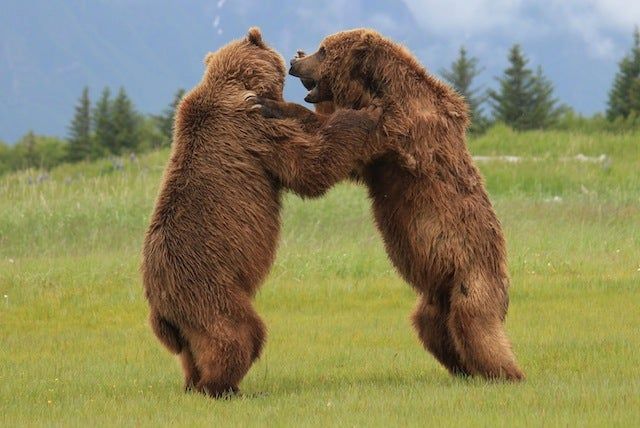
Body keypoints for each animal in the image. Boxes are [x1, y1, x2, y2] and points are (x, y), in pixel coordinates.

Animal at [141, 28, 385, 397]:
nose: (294, 55)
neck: (237, 82)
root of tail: (160, 305)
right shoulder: (253, 131)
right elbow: (309, 167)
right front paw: (366, 112)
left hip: (187, 314)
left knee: (190, 351)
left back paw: (194, 382)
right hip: (210, 290)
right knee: (237, 334)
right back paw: (223, 386)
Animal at [251, 29, 524, 381]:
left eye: (323, 50)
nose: (295, 60)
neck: (377, 89)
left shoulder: (397, 129)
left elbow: (331, 145)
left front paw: (267, 104)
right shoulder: (375, 158)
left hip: (472, 280)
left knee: (477, 328)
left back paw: (506, 373)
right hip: (437, 296)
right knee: (434, 328)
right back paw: (463, 369)